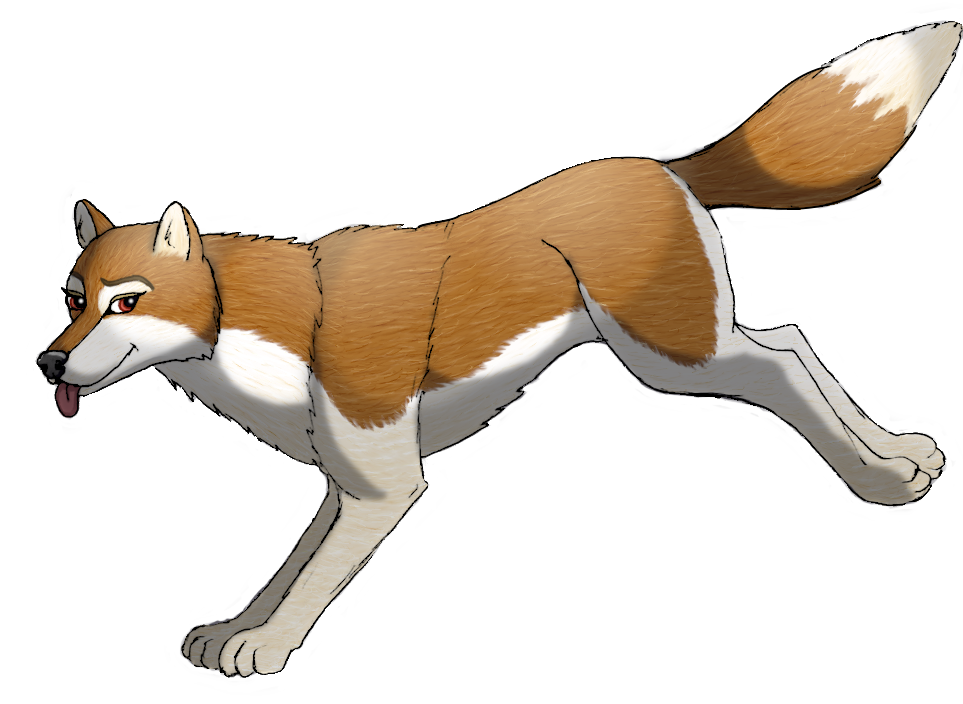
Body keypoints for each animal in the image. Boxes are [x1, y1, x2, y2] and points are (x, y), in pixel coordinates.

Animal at [37, 22, 961, 676]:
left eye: (128, 302)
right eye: (74, 301)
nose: (47, 366)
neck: (282, 322)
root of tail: (657, 165)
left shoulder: (386, 484)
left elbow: (310, 579)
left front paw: (264, 648)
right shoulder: (345, 484)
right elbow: (287, 567)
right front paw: (238, 628)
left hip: (672, 357)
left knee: (782, 359)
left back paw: (881, 478)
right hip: (690, 341)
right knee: (793, 341)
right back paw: (906, 458)